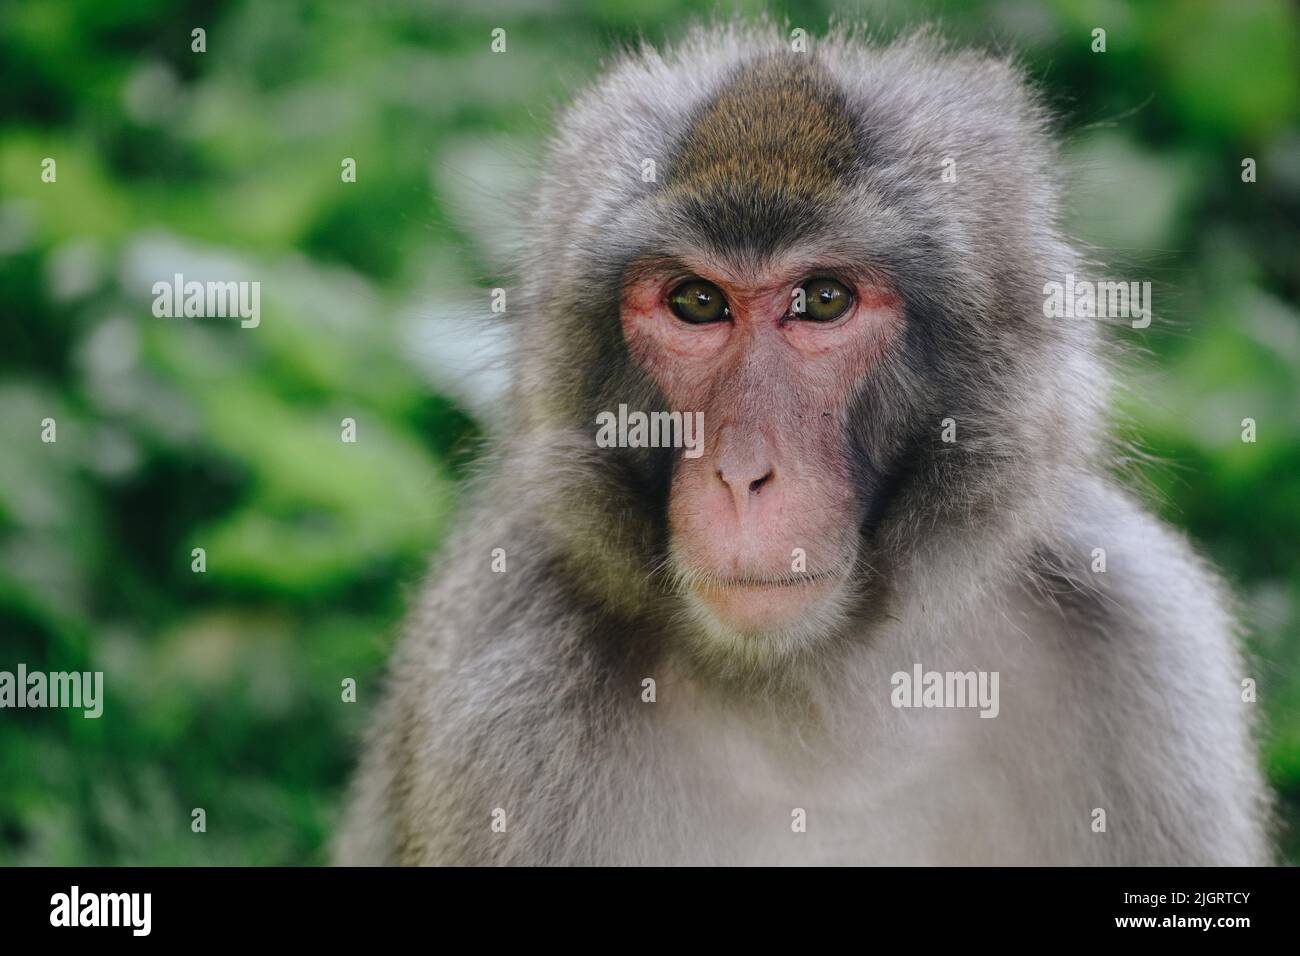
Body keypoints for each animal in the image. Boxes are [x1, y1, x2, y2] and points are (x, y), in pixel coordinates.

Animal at [335, 24, 1271, 866]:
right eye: (697, 302)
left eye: (822, 300)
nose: (744, 474)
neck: (813, 692)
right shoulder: (506, 697)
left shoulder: (1141, 649)